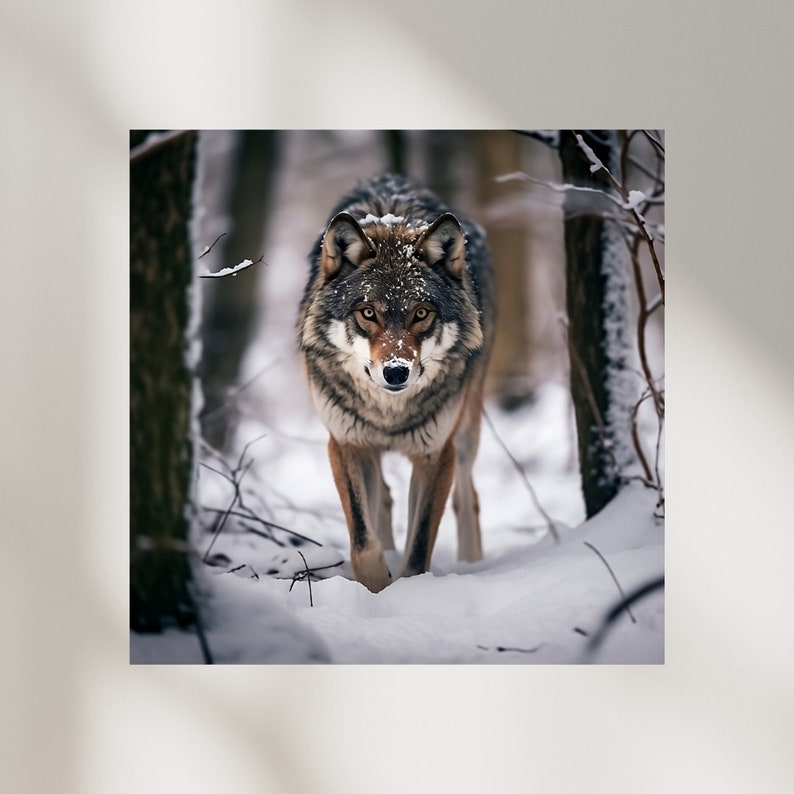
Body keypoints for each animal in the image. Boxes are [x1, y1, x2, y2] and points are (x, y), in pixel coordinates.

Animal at [298, 173, 496, 592]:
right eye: (368, 313)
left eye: (421, 313)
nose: (396, 371)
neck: (388, 414)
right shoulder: (346, 444)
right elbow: (362, 542)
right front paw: (378, 587)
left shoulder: (436, 454)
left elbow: (419, 547)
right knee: (386, 499)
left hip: (465, 435)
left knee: (468, 498)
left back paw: (472, 564)